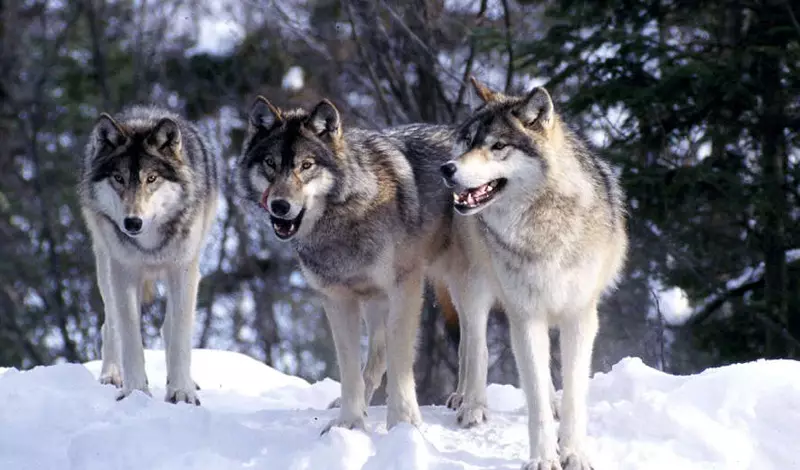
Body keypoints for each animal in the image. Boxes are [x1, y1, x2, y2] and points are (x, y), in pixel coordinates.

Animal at [77, 105, 219, 404]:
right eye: (119, 178)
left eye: (151, 178)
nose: (132, 223)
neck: (149, 244)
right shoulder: (123, 272)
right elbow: (130, 336)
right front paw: (135, 392)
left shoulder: (184, 270)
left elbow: (180, 335)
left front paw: (181, 392)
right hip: (105, 266)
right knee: (110, 325)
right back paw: (111, 375)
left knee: (169, 326)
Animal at [234, 96, 460, 434]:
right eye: (270, 164)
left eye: (306, 165)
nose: (280, 206)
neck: (345, 220)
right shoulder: (337, 299)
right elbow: (350, 368)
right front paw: (350, 424)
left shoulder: (405, 288)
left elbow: (400, 358)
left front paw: (404, 422)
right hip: (376, 303)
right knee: (376, 358)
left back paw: (466, 401)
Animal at [438, 79, 632, 468]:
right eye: (468, 142)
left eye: (498, 146)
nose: (447, 169)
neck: (543, 225)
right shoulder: (525, 317)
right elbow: (535, 401)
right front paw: (543, 458)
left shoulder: (579, 317)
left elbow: (572, 394)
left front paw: (573, 452)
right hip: (474, 290)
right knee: (474, 346)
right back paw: (471, 404)